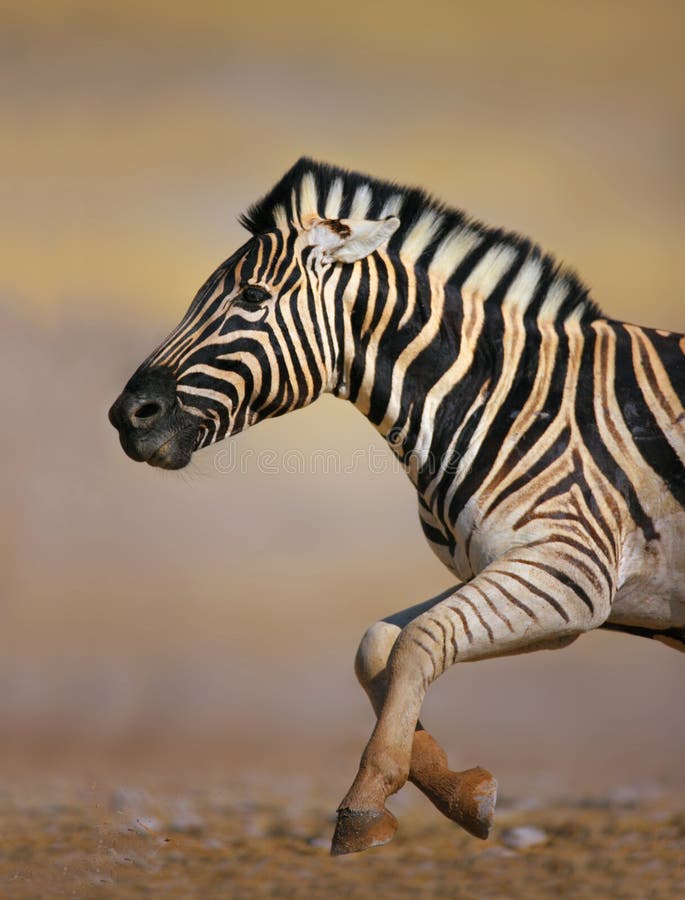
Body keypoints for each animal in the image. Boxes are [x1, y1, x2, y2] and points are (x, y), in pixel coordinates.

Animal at [109, 158, 685, 855]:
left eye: (251, 299)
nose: (126, 417)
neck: (511, 399)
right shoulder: (530, 583)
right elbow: (380, 643)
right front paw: (457, 790)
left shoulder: (570, 571)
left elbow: (421, 638)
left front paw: (365, 799)